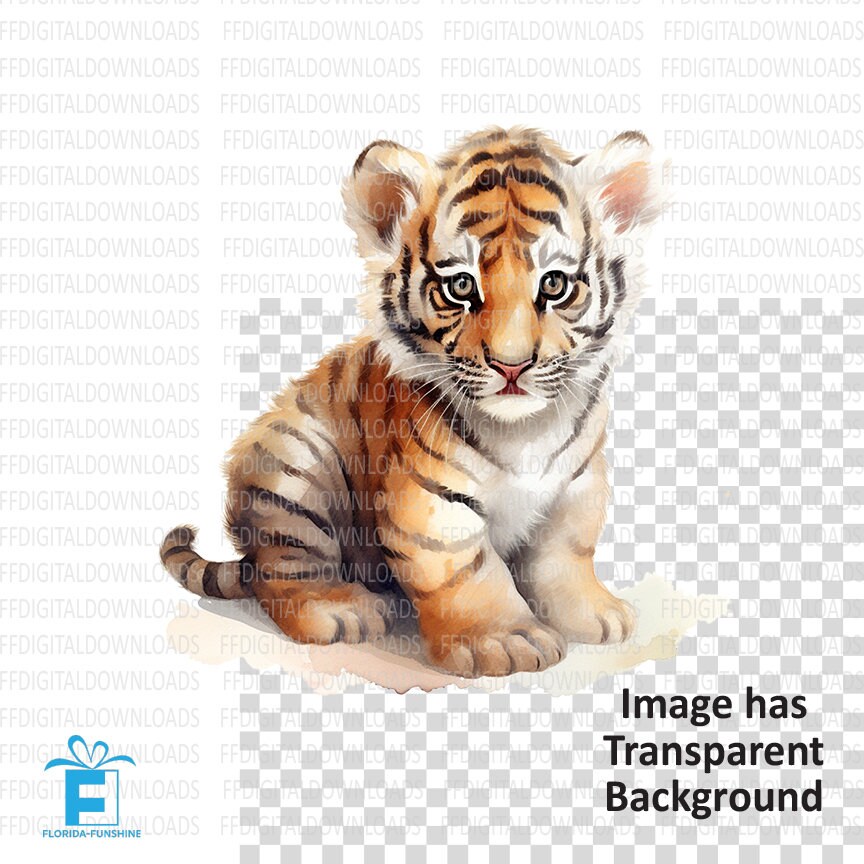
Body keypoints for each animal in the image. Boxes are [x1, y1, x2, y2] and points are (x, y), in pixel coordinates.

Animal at [160, 126, 667, 678]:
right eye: (461, 285)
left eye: (554, 284)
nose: (511, 366)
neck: (524, 431)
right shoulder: (429, 499)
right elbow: (466, 568)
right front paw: (503, 639)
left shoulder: (578, 484)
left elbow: (565, 551)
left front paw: (593, 614)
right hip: (294, 464)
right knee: (284, 570)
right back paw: (342, 609)